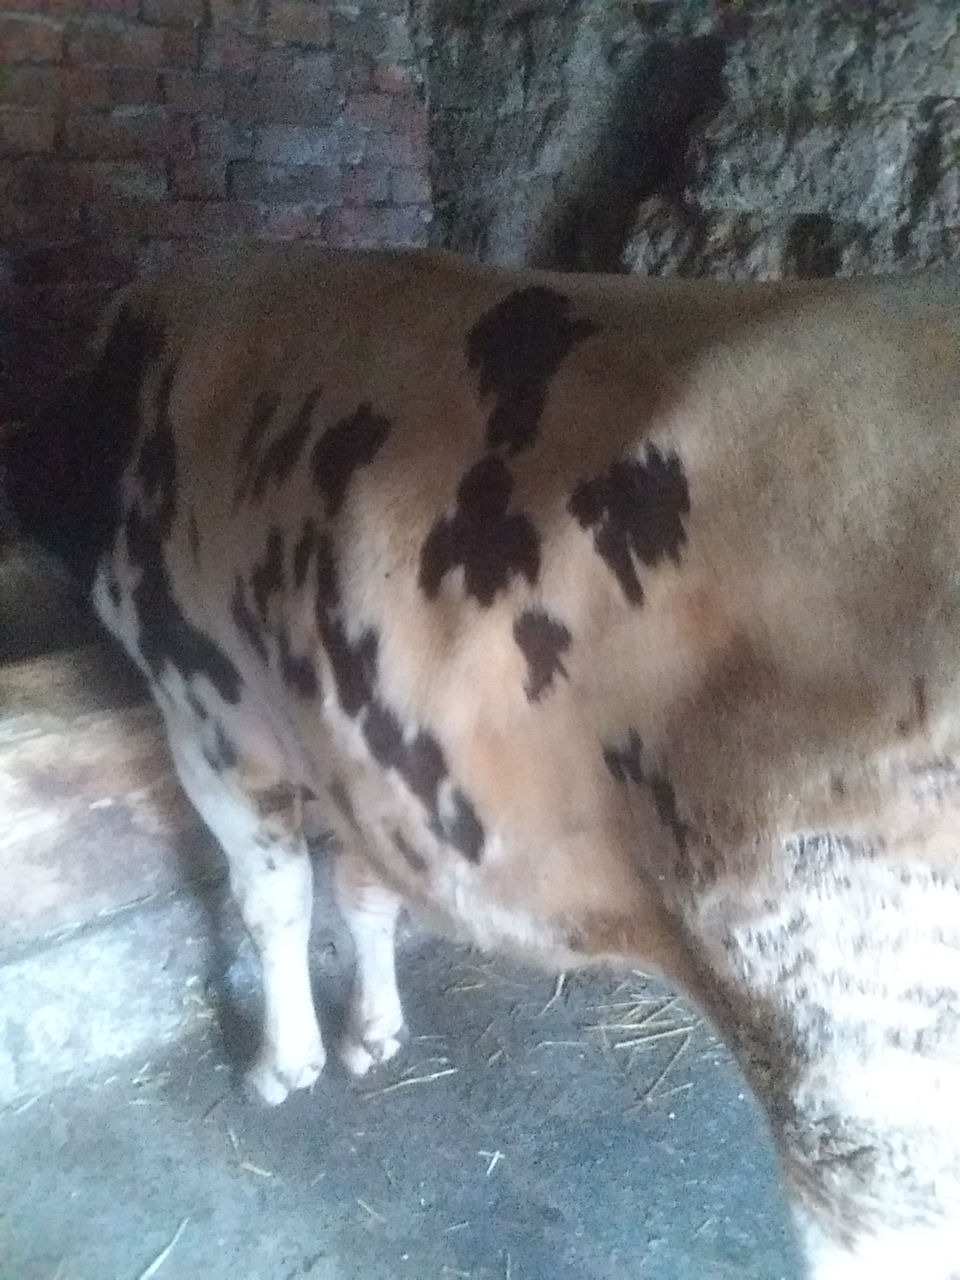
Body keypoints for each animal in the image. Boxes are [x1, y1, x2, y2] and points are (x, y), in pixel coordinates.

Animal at [2, 244, 959, 1278]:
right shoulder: (353, 742)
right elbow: (365, 892)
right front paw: (372, 1031)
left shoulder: (209, 714)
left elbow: (275, 899)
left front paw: (282, 1062)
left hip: (858, 1079)